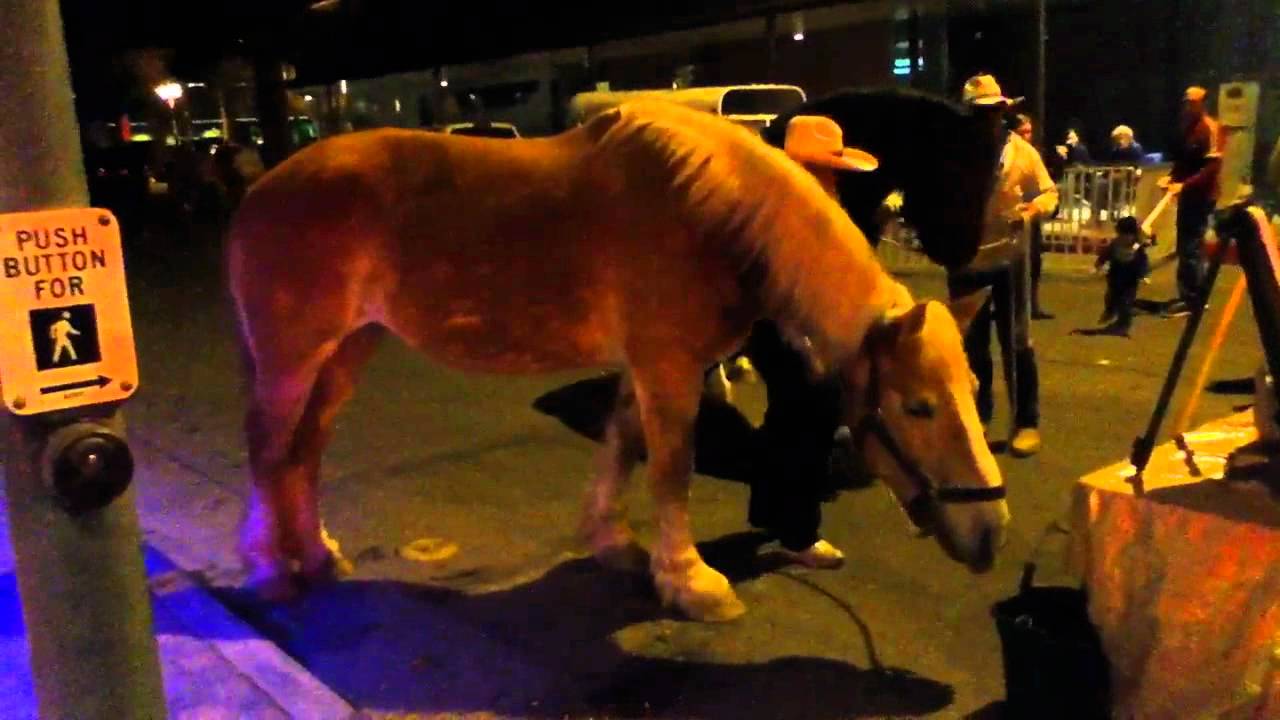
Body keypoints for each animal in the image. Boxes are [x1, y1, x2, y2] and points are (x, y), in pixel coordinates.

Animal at [225, 99, 1009, 623]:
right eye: (919, 406)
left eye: (975, 388)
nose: (991, 534)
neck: (710, 207)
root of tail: (260, 190)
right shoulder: (670, 365)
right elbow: (670, 468)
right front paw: (690, 581)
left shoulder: (647, 366)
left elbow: (623, 443)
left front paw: (614, 542)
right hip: (294, 358)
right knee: (268, 449)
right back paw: (269, 570)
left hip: (347, 350)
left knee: (306, 451)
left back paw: (317, 554)